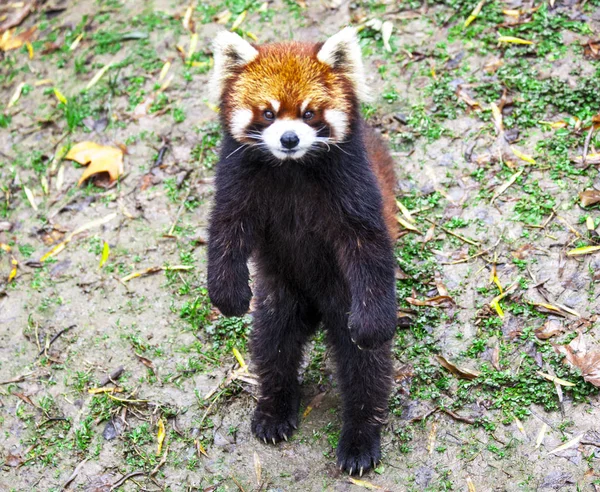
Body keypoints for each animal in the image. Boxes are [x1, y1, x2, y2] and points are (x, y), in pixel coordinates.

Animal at [206, 27, 398, 476]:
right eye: (268, 113)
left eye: (310, 113)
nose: (289, 139)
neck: (292, 168)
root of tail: (316, 310)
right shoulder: (236, 180)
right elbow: (225, 233)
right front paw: (228, 295)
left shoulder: (353, 187)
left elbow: (369, 247)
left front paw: (374, 325)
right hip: (279, 295)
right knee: (272, 346)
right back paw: (274, 410)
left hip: (345, 301)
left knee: (365, 368)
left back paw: (360, 437)